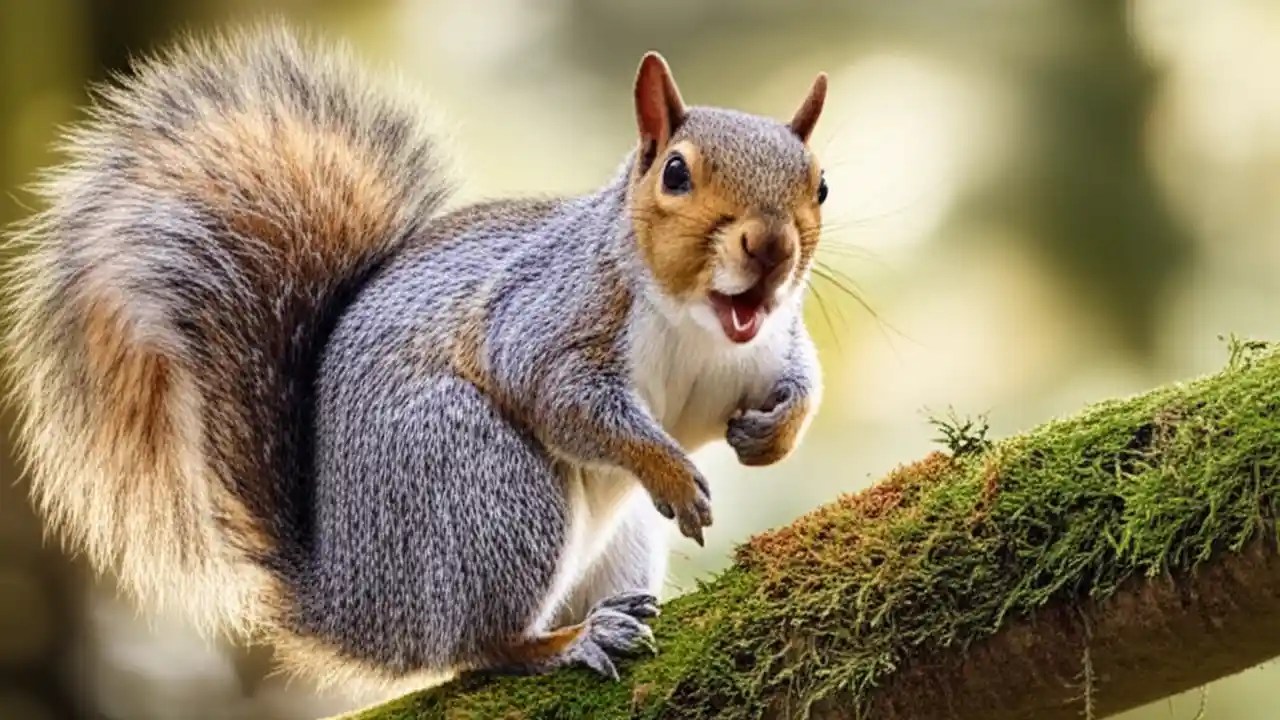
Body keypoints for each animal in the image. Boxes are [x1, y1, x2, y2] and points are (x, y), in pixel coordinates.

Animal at [5, 25, 828, 689]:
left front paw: (773, 433)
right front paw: (670, 471)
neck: (700, 324)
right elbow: (563, 398)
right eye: (676, 173)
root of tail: (355, 605)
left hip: (609, 536)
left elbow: (798, 383)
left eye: (819, 183)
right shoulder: (546, 316)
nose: (770, 247)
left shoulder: (765, 348)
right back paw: (565, 641)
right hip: (484, 483)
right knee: (481, 645)